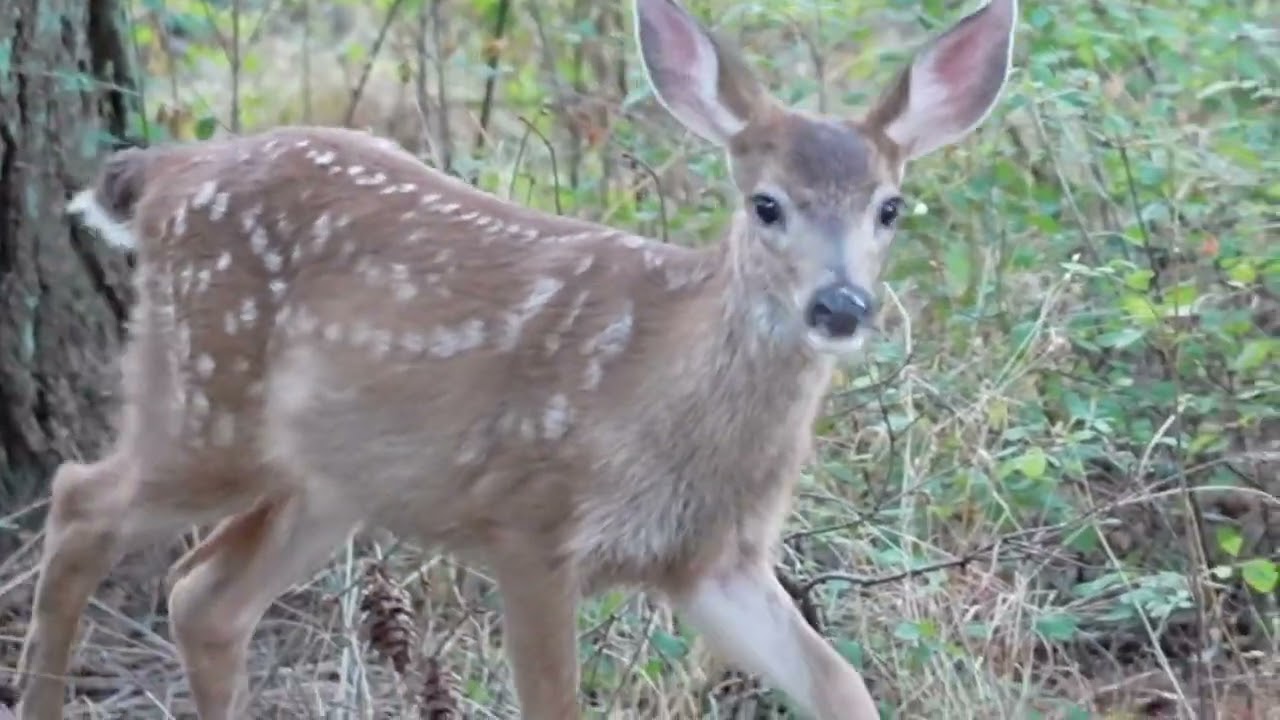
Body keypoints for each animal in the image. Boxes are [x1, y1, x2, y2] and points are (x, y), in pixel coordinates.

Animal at [14, 0, 1016, 717]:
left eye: (889, 207)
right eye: (766, 204)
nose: (840, 305)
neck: (660, 389)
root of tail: (166, 174)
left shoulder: (711, 558)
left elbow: (843, 686)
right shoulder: (529, 519)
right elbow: (555, 703)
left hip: (331, 480)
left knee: (203, 596)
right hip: (204, 395)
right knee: (81, 501)